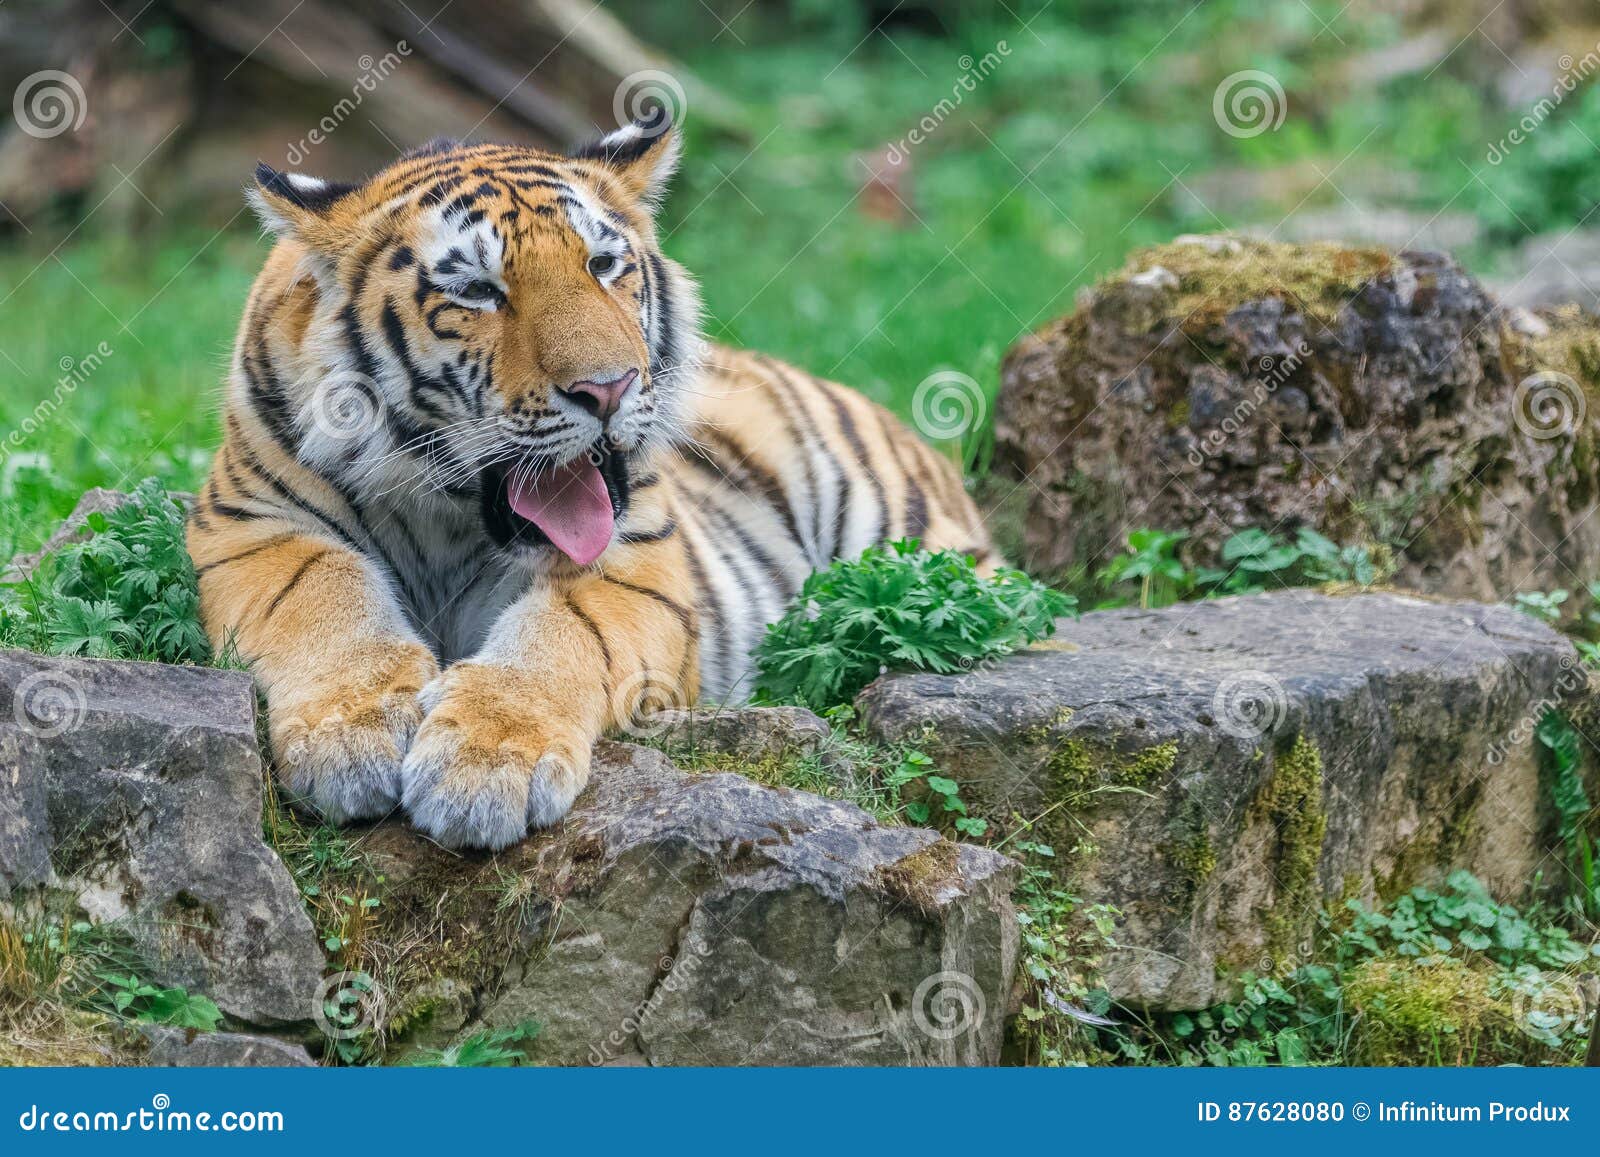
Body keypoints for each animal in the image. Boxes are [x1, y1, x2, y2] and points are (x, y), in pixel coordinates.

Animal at [187, 109, 994, 851]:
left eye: (603, 265)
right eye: (477, 290)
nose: (608, 389)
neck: (444, 513)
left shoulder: (636, 558)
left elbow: (560, 637)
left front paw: (484, 766)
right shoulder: (252, 525)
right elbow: (323, 596)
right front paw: (350, 737)